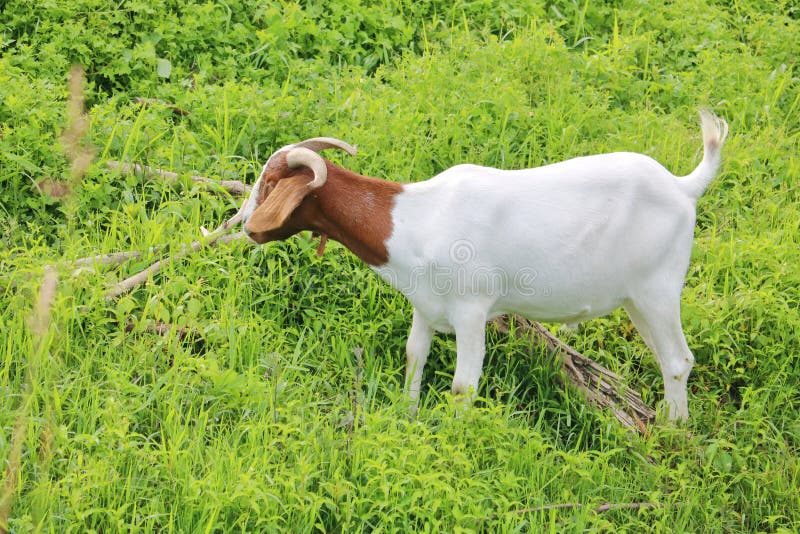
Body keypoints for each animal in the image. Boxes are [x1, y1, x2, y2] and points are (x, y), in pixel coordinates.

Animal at [242, 111, 728, 420]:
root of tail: (684, 187)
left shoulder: (472, 311)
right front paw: (408, 416)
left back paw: (672, 433)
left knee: (679, 360)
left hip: (658, 289)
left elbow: (463, 387)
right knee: (665, 359)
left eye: (270, 183)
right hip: (634, 299)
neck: (418, 217)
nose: (244, 225)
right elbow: (414, 357)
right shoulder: (425, 306)